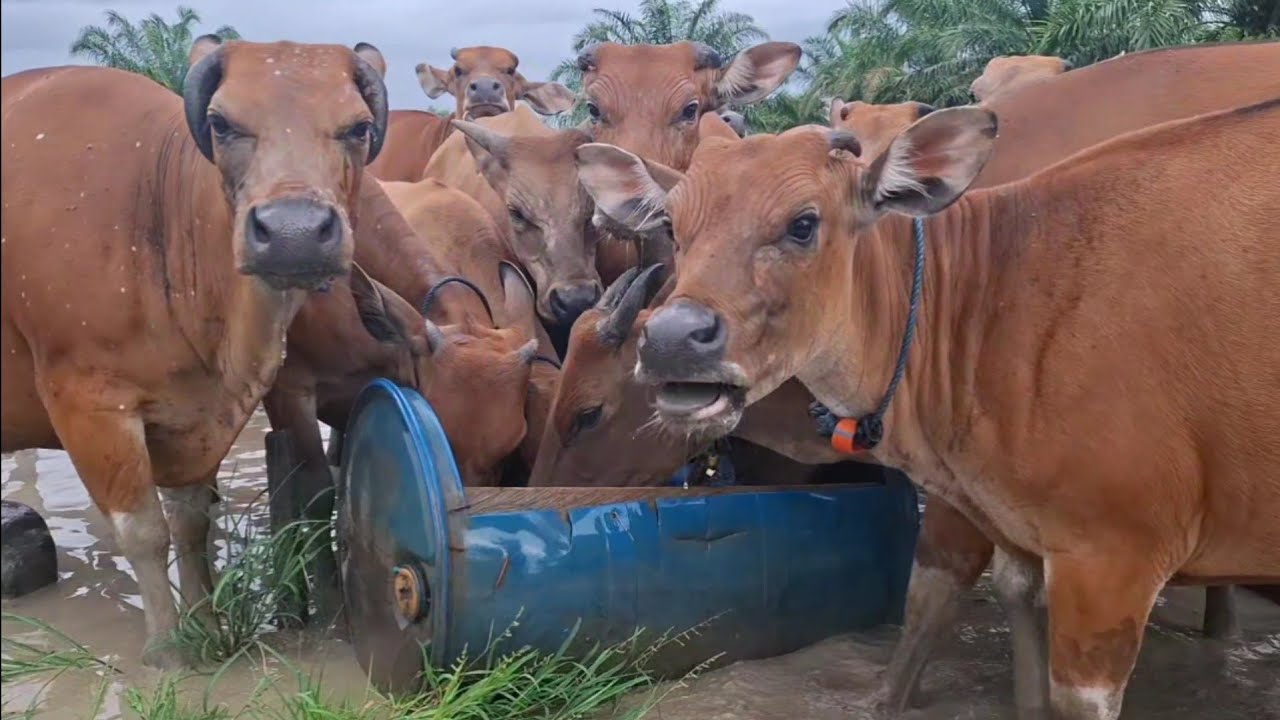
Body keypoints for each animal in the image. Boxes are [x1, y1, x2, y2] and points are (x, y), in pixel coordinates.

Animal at [0, 36, 388, 667]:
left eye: (357, 127)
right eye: (222, 124)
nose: (294, 233)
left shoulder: (203, 415)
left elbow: (189, 525)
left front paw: (205, 627)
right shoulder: (86, 402)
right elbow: (144, 533)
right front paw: (165, 649)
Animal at [581, 93, 1280, 720]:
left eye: (804, 223)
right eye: (673, 228)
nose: (671, 339)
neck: (997, 300)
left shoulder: (1110, 560)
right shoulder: (1018, 536)